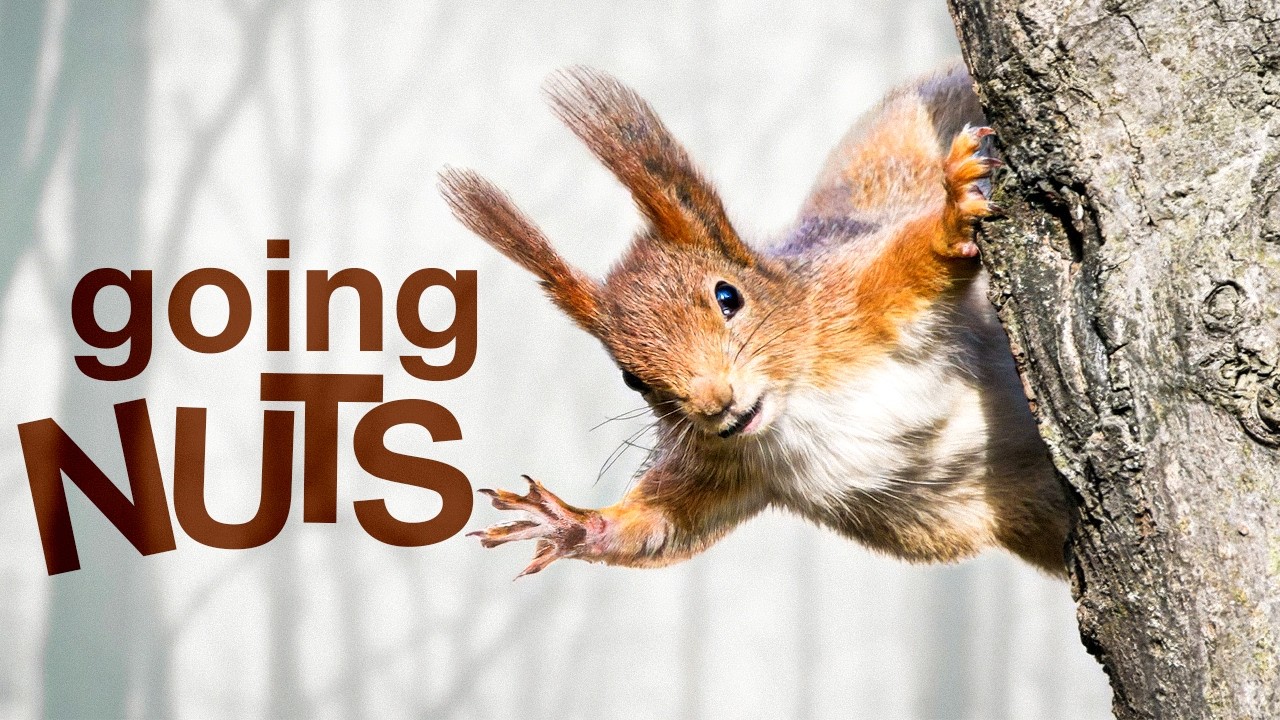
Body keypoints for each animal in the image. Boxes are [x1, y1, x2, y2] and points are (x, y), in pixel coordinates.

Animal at [439, 61, 1069, 579]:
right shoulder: (726, 466)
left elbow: (912, 261)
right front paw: (570, 523)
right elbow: (664, 525)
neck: (797, 406)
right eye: (630, 378)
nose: (715, 404)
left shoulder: (855, 300)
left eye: (728, 296)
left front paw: (951, 214)